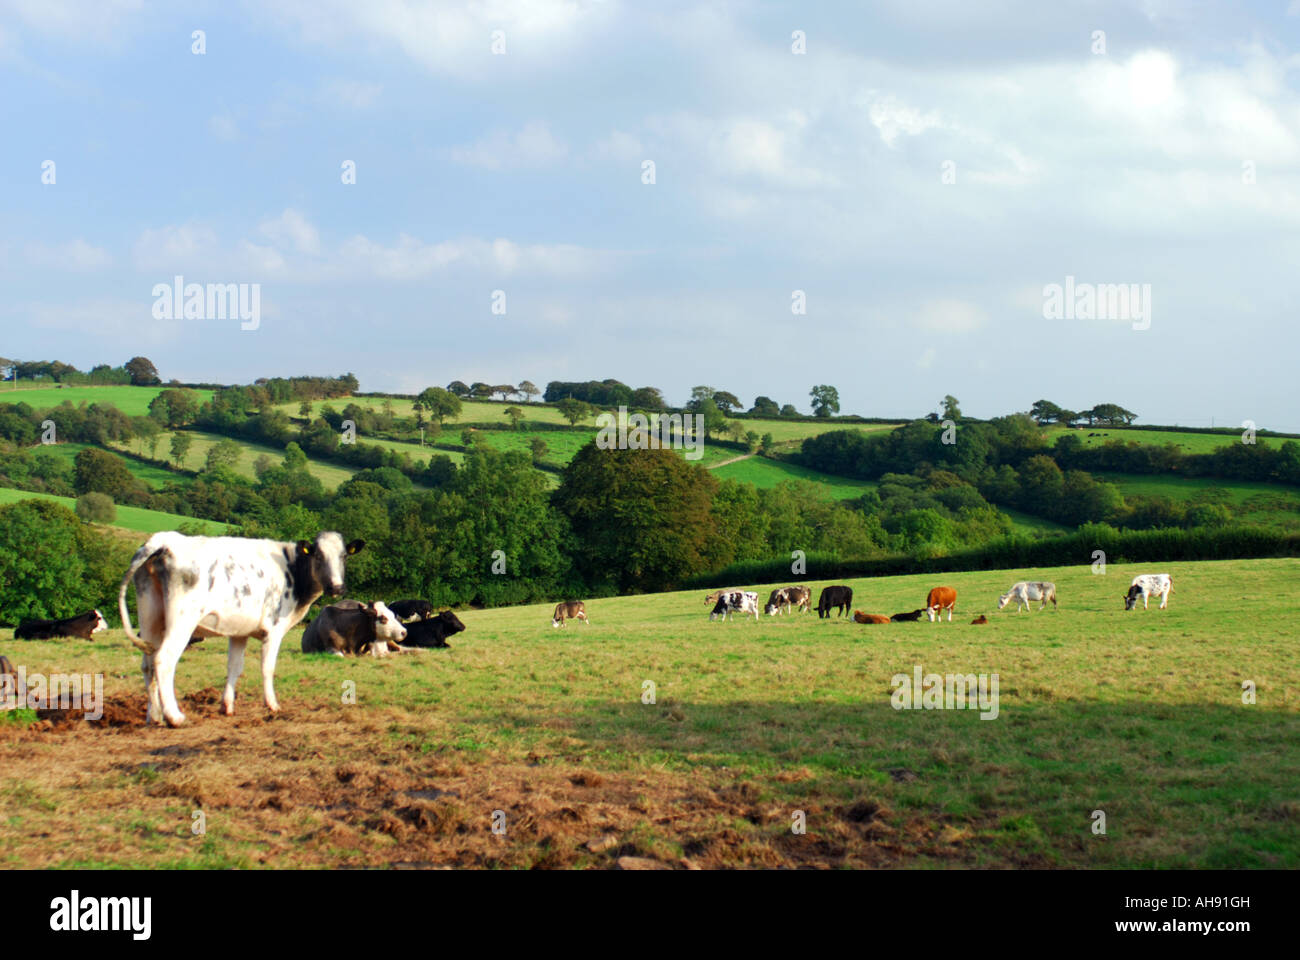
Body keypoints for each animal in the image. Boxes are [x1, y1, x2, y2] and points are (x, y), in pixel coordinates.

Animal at [118, 530, 364, 727]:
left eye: (343, 556)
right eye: (319, 555)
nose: (337, 587)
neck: (293, 572)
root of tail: (165, 540)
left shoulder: (239, 631)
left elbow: (234, 667)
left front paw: (227, 706)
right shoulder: (274, 629)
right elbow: (267, 668)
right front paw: (272, 705)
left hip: (150, 615)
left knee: (147, 664)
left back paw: (154, 716)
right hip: (182, 619)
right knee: (164, 660)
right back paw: (174, 717)